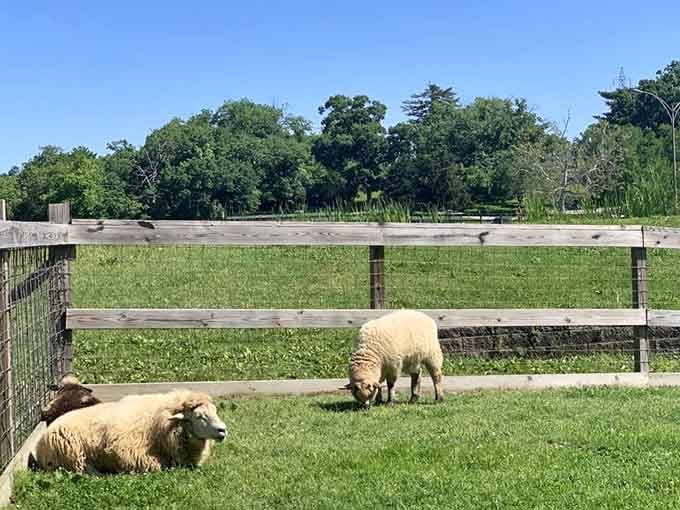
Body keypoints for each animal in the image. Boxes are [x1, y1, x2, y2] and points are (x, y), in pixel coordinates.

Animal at [34, 390, 227, 474]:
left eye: (215, 411)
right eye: (200, 416)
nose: (223, 430)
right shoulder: (127, 450)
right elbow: (154, 465)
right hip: (72, 454)